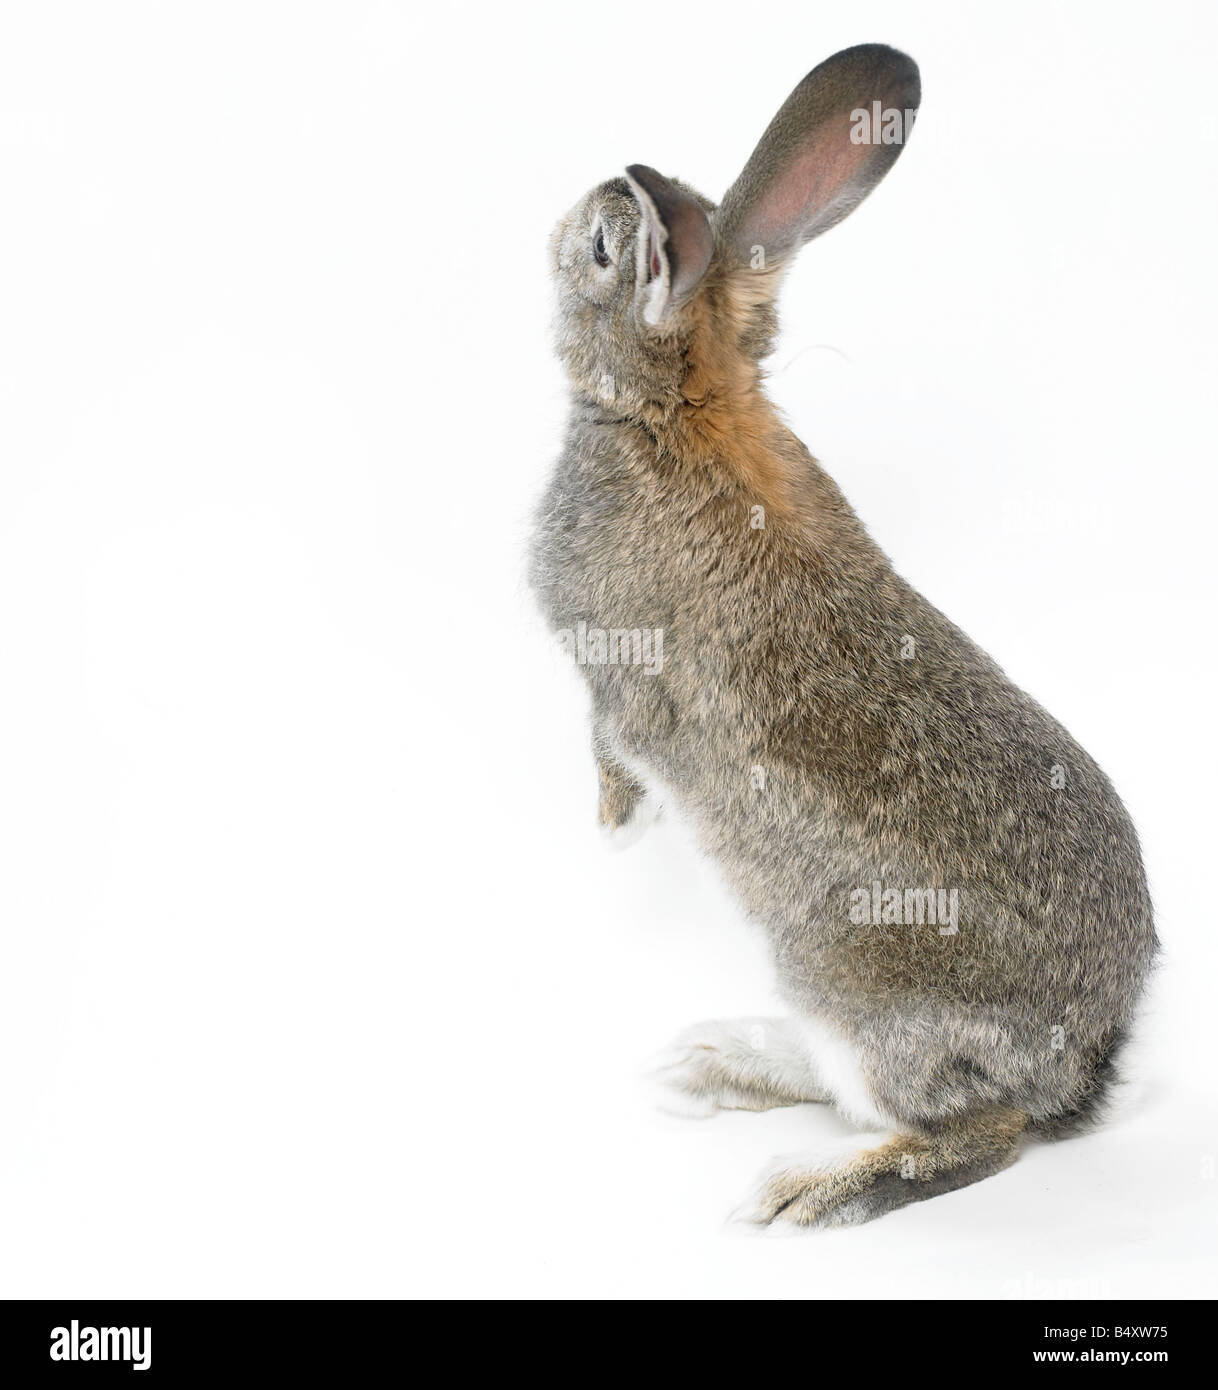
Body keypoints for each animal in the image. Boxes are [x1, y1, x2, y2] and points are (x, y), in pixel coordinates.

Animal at [529, 43, 1156, 1228]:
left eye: (600, 249)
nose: (572, 210)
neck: (676, 411)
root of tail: (1086, 1060)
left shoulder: (611, 679)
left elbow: (615, 753)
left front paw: (612, 834)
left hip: (858, 994)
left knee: (971, 1136)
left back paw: (801, 1192)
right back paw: (711, 1064)